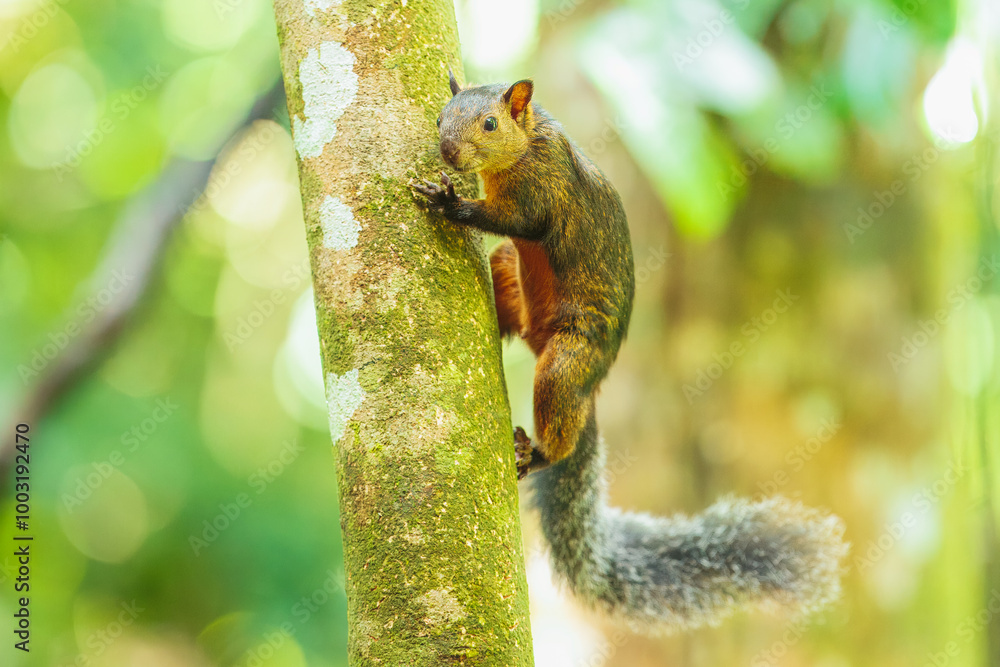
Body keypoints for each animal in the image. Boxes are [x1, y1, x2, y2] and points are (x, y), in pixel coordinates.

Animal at [411, 71, 848, 632]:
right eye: (441, 117)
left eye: (489, 123)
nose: (447, 151)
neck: (526, 145)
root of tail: (592, 383)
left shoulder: (544, 189)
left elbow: (525, 222)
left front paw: (451, 204)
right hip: (512, 272)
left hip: (568, 361)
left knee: (558, 420)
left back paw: (538, 451)